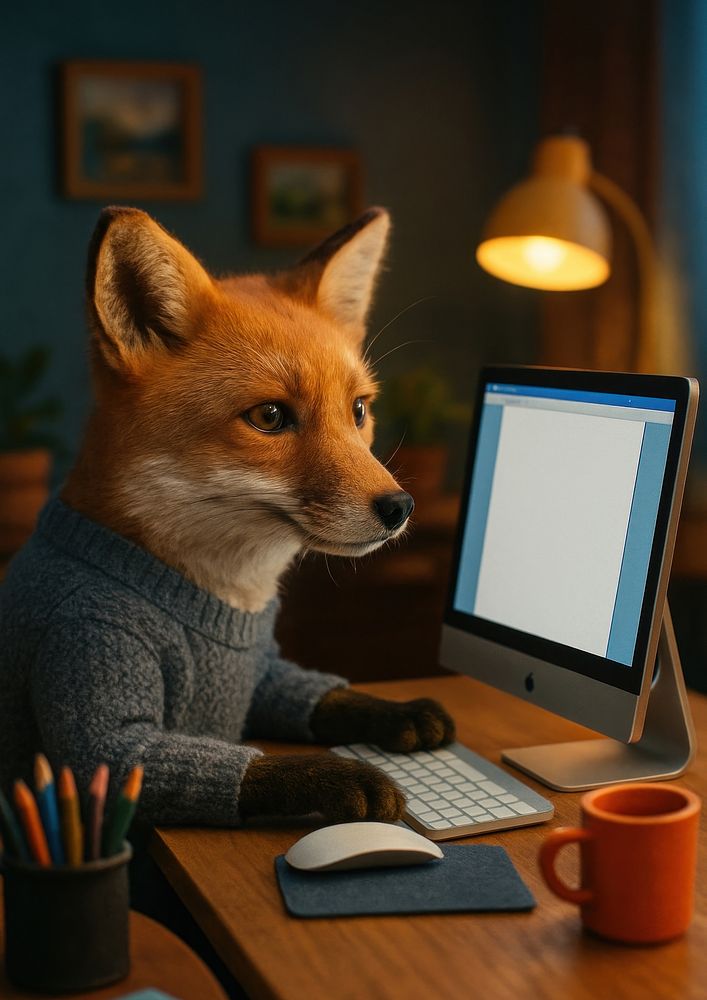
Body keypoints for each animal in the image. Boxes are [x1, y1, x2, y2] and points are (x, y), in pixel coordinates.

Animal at [0, 205, 454, 827]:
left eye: (358, 410)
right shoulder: (90, 682)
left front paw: (399, 710)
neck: (223, 602)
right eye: (270, 417)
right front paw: (348, 777)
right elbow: (251, 767)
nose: (400, 508)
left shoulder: (264, 674)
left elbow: (328, 695)